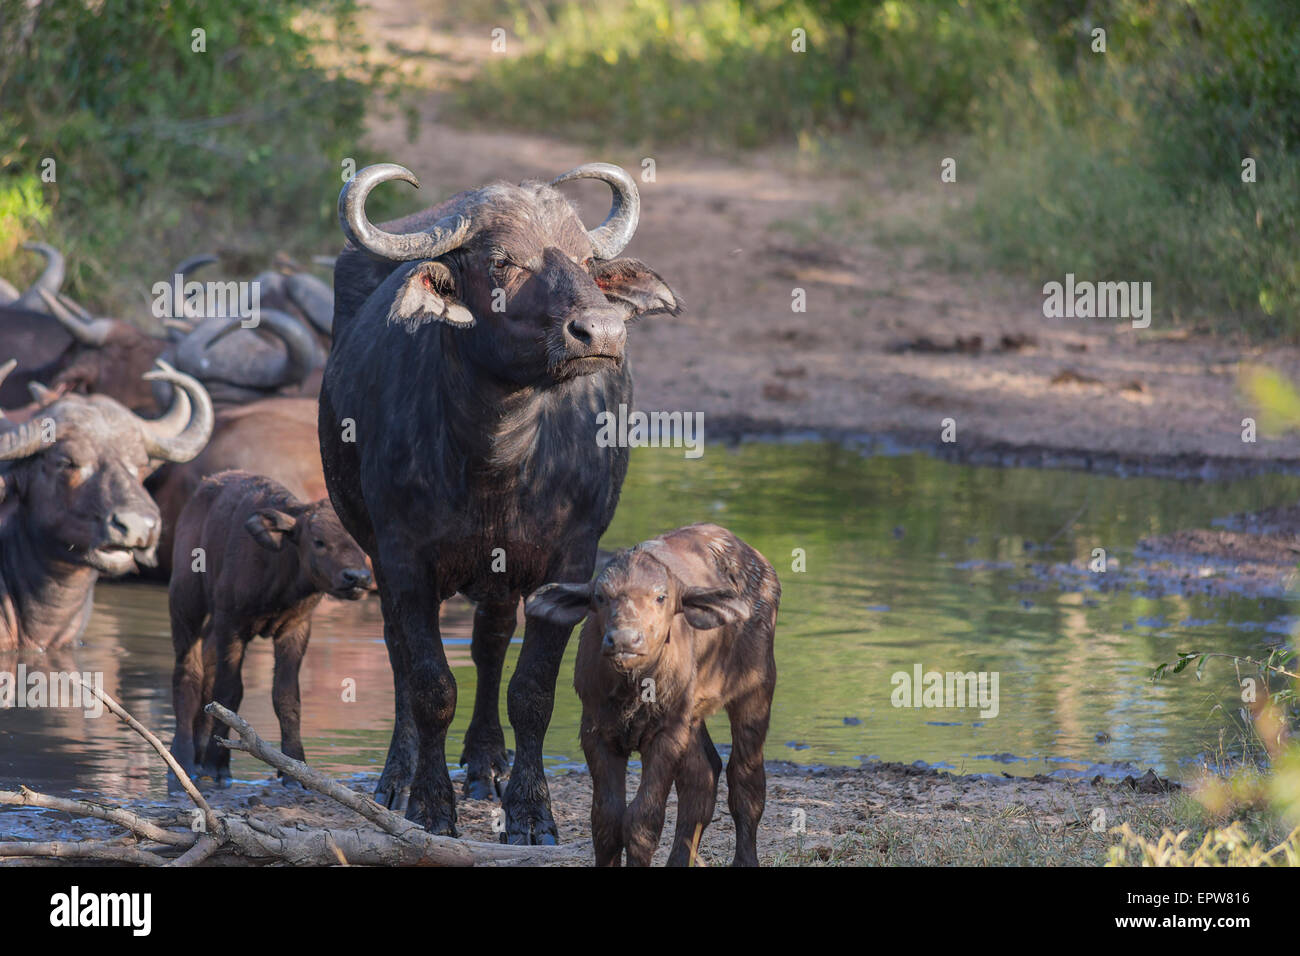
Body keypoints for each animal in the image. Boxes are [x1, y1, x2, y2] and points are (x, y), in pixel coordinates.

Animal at [319, 161, 680, 842]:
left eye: (585, 259)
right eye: (502, 261)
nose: (600, 331)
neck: (497, 457)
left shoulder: (569, 559)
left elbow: (531, 690)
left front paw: (531, 810)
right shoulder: (403, 560)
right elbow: (430, 686)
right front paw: (431, 804)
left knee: (489, 643)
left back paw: (487, 763)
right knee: (400, 654)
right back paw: (397, 776)